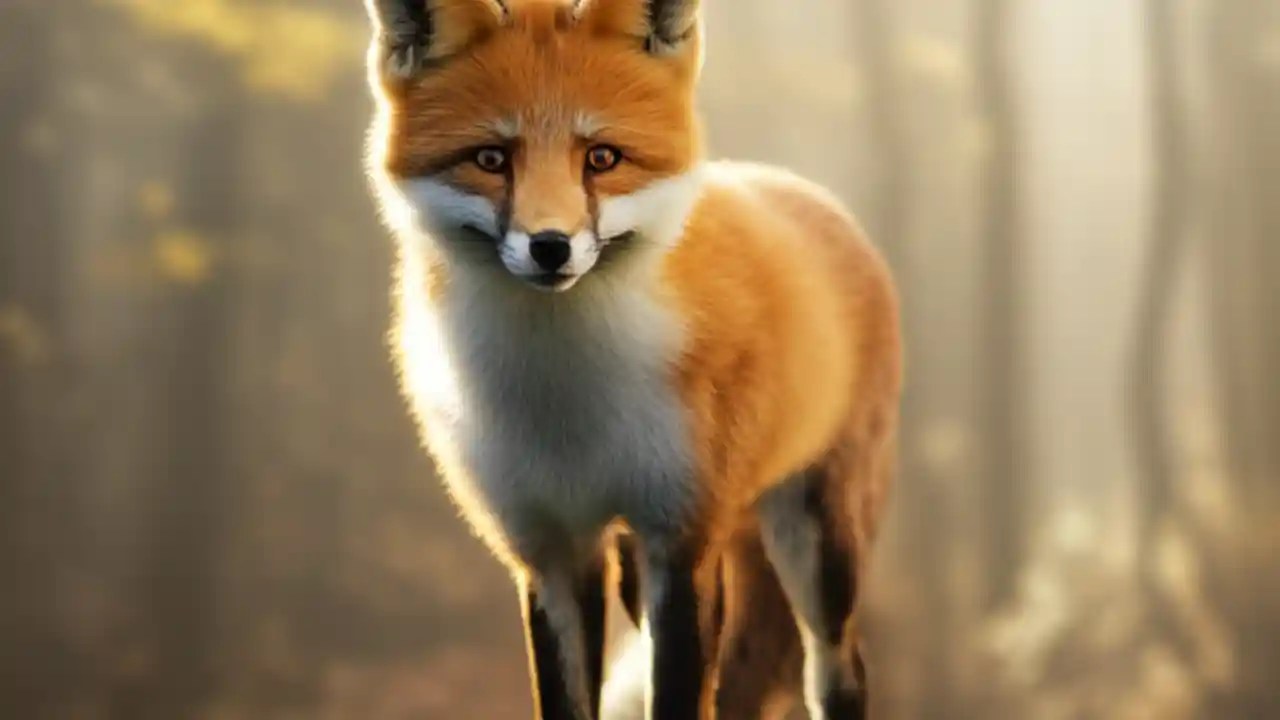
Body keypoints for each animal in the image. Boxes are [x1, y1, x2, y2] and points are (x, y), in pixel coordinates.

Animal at [362, 1, 902, 719]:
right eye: (491, 158)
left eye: (601, 158)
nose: (551, 247)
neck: (566, 401)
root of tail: (792, 183)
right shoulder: (552, 552)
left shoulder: (681, 540)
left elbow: (675, 698)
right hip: (639, 570)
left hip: (817, 546)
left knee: (837, 668)